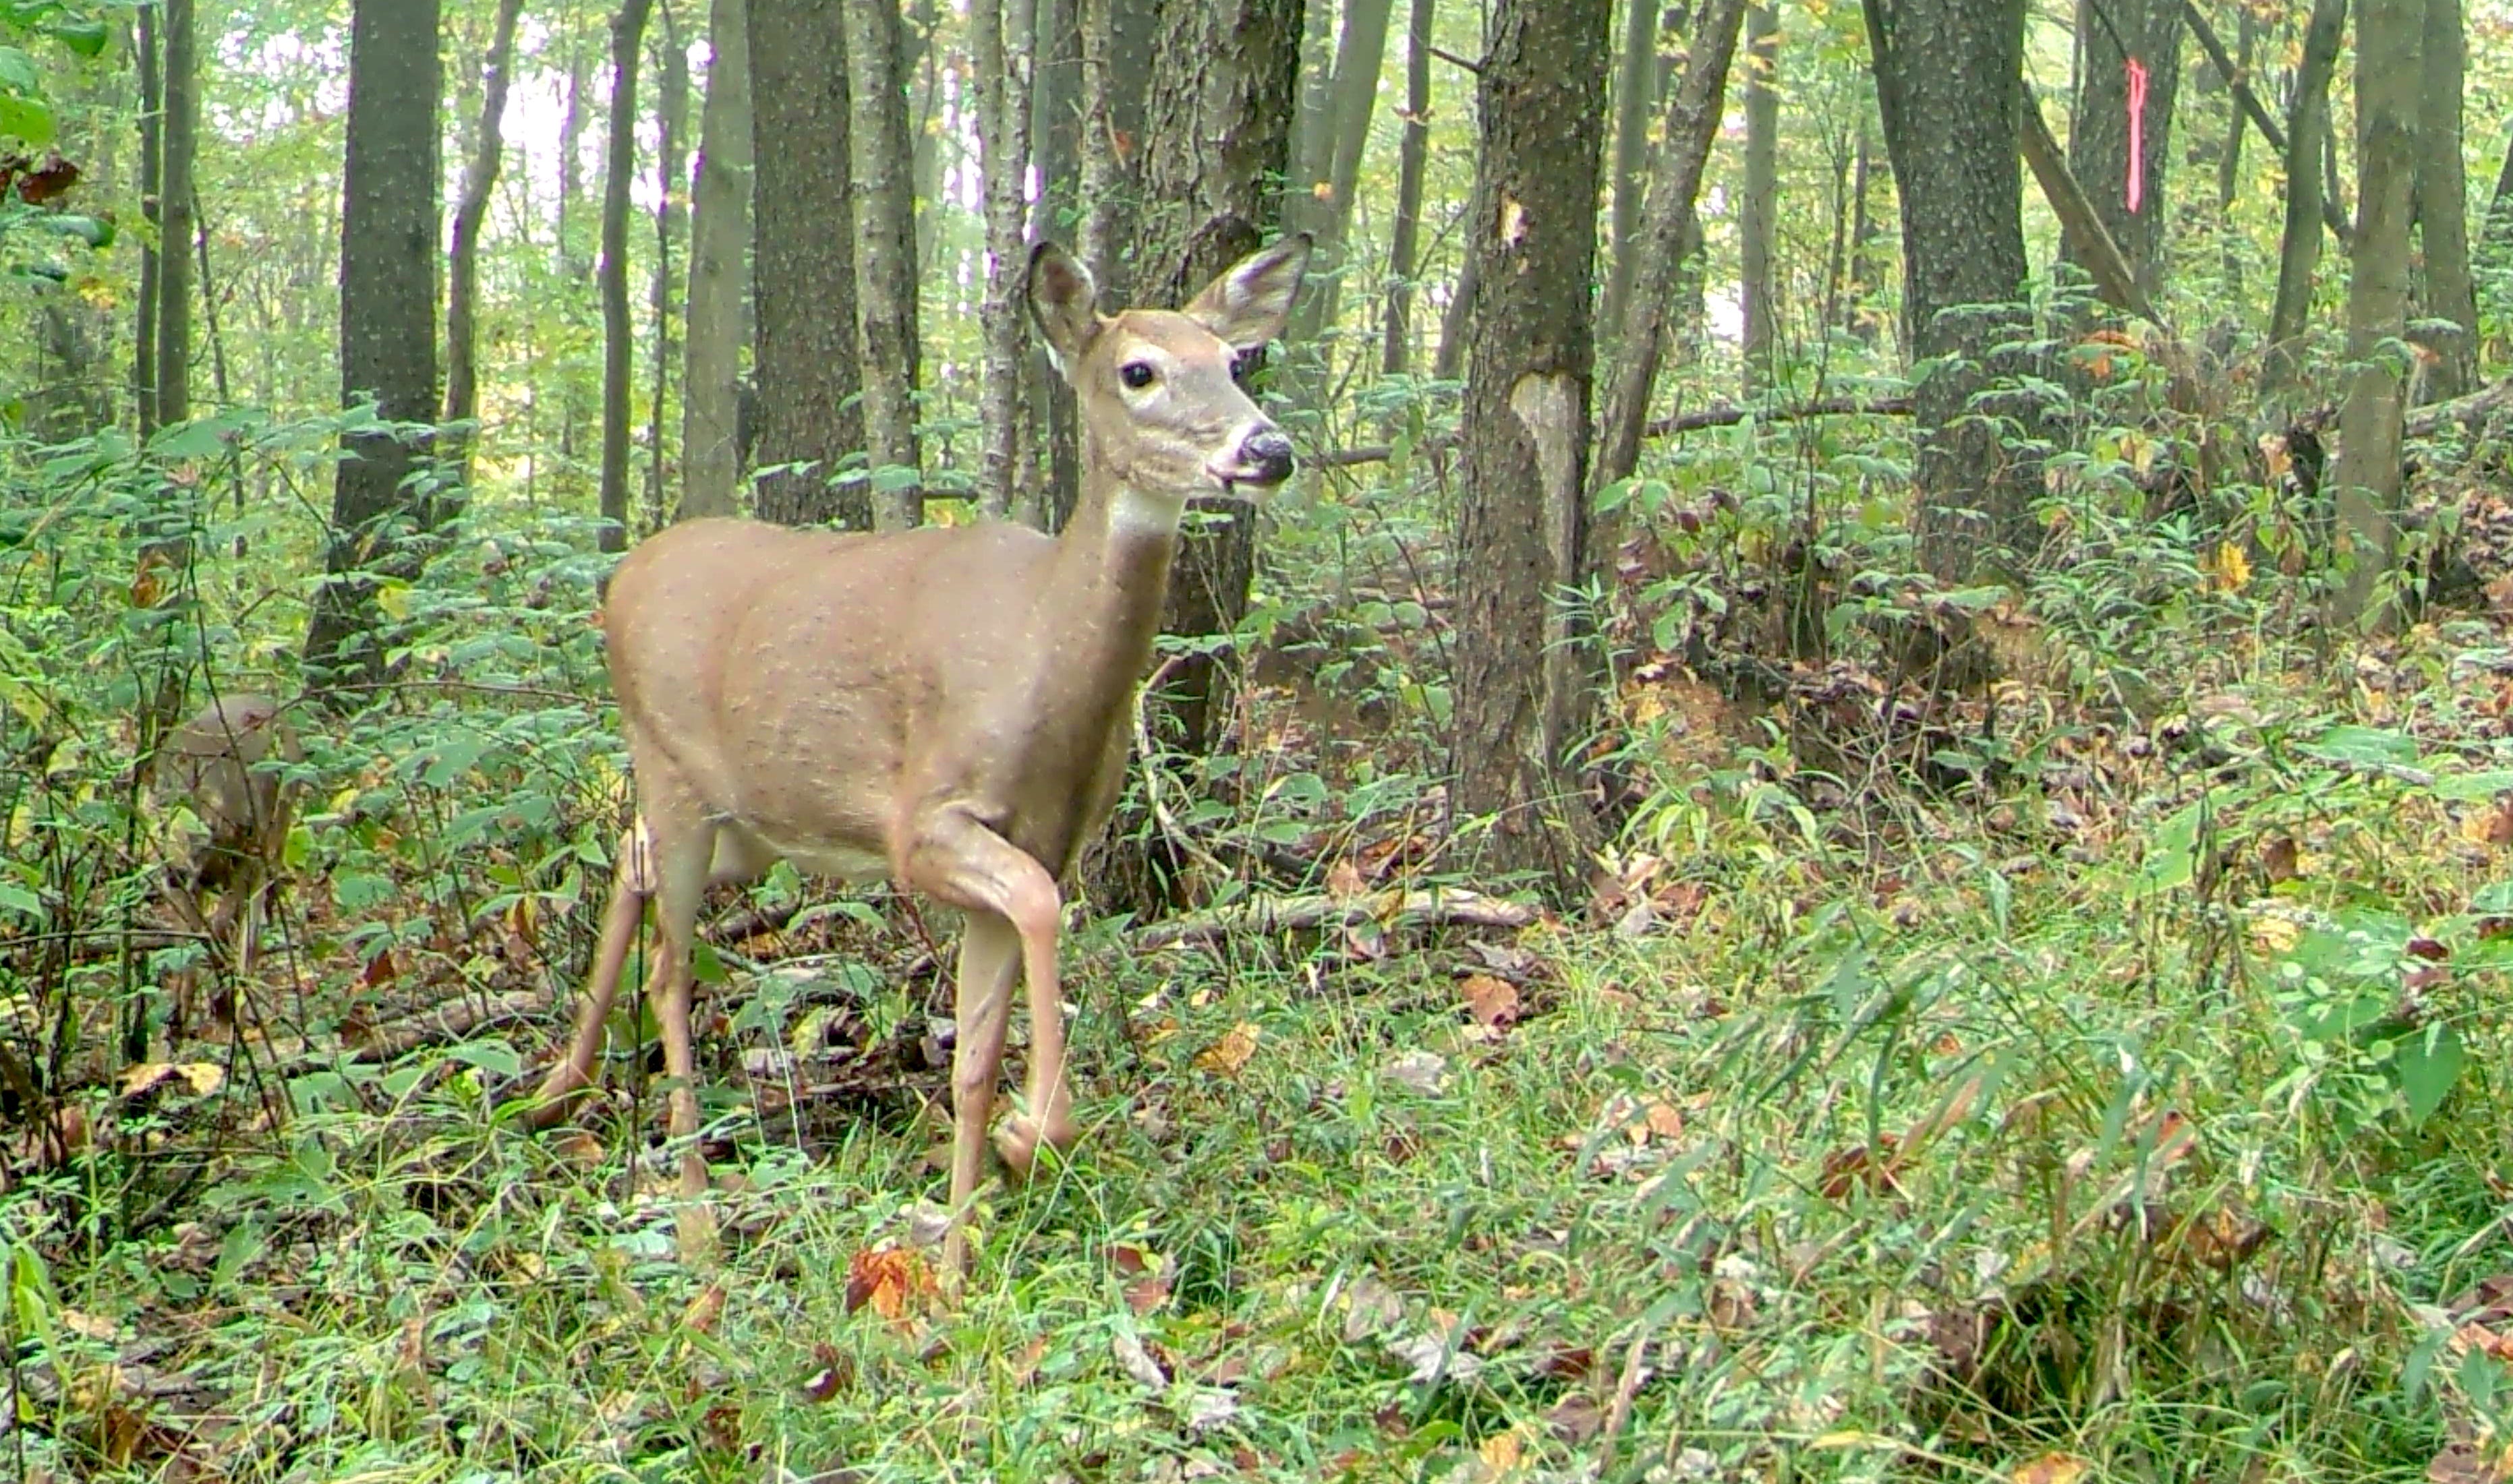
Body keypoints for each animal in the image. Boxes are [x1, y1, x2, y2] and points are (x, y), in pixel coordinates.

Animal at [527, 231, 1312, 1274]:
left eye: (1233, 361)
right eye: (1138, 371)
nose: (1268, 450)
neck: (1043, 666)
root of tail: (620, 578)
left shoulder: (1046, 838)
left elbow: (978, 1047)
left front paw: (954, 1257)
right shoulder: (923, 822)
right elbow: (1038, 909)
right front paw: (1034, 1136)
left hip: (753, 821)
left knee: (629, 857)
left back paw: (557, 1091)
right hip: (669, 766)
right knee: (671, 969)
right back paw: (694, 1220)